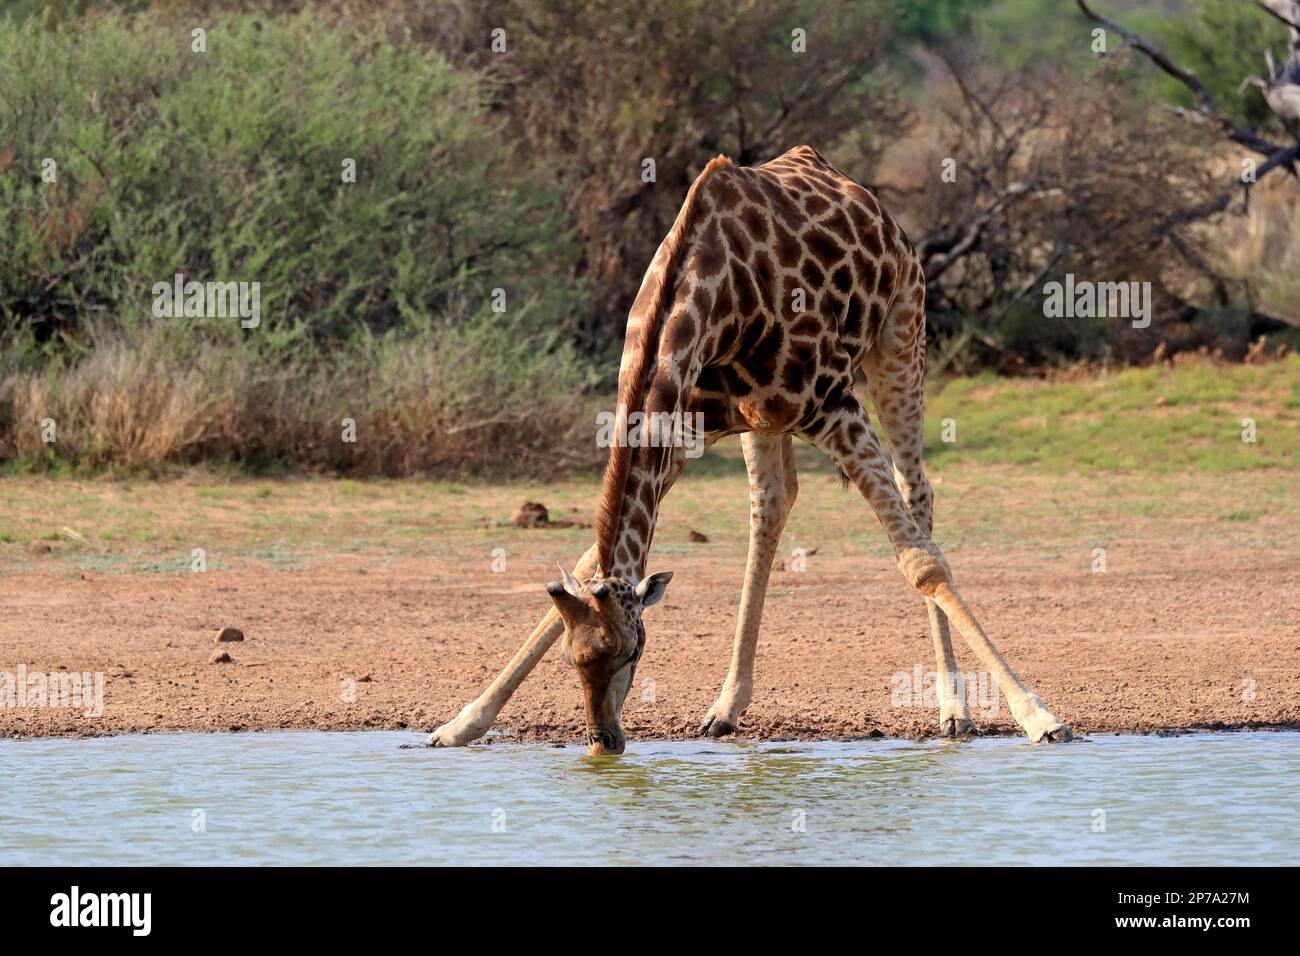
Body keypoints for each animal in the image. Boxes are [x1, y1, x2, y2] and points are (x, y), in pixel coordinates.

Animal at [428, 145, 1072, 755]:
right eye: (574, 659)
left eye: (635, 651)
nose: (603, 739)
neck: (703, 297)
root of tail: (860, 191)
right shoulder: (685, 426)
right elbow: (589, 560)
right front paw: (461, 723)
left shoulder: (835, 405)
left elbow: (922, 562)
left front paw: (1040, 718)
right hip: (764, 419)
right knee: (774, 502)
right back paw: (726, 707)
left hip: (900, 337)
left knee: (917, 494)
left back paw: (953, 710)